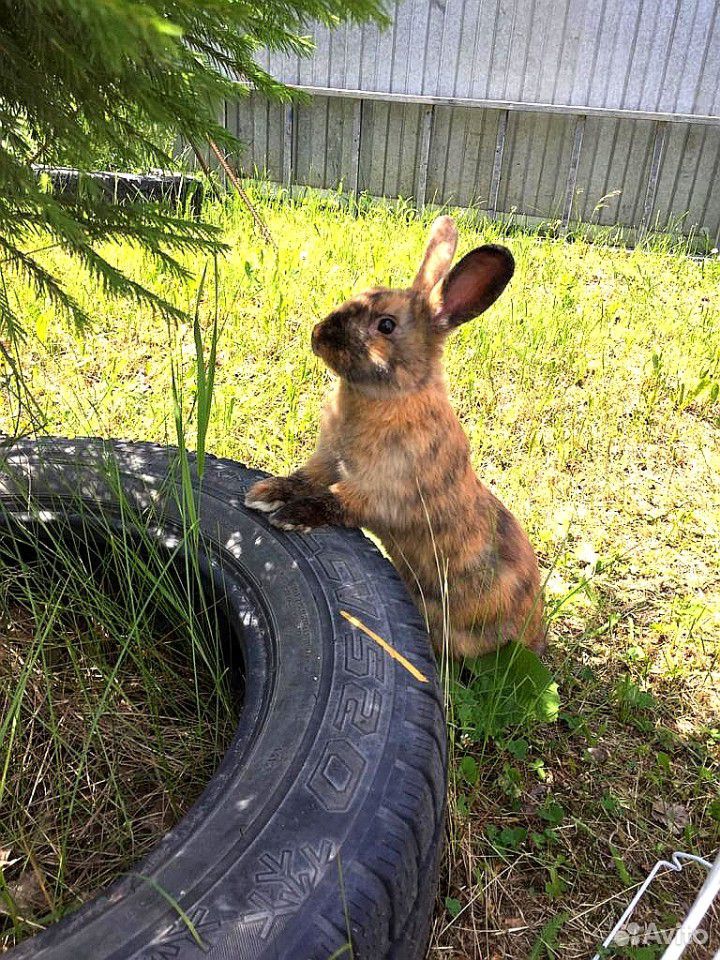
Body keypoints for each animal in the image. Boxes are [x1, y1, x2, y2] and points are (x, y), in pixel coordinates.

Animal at [245, 216, 545, 658]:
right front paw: (265, 492)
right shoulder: (327, 460)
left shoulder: (380, 492)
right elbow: (304, 478)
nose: (317, 335)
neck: (390, 397)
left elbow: (332, 500)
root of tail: (537, 636)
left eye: (385, 325)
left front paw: (289, 516)